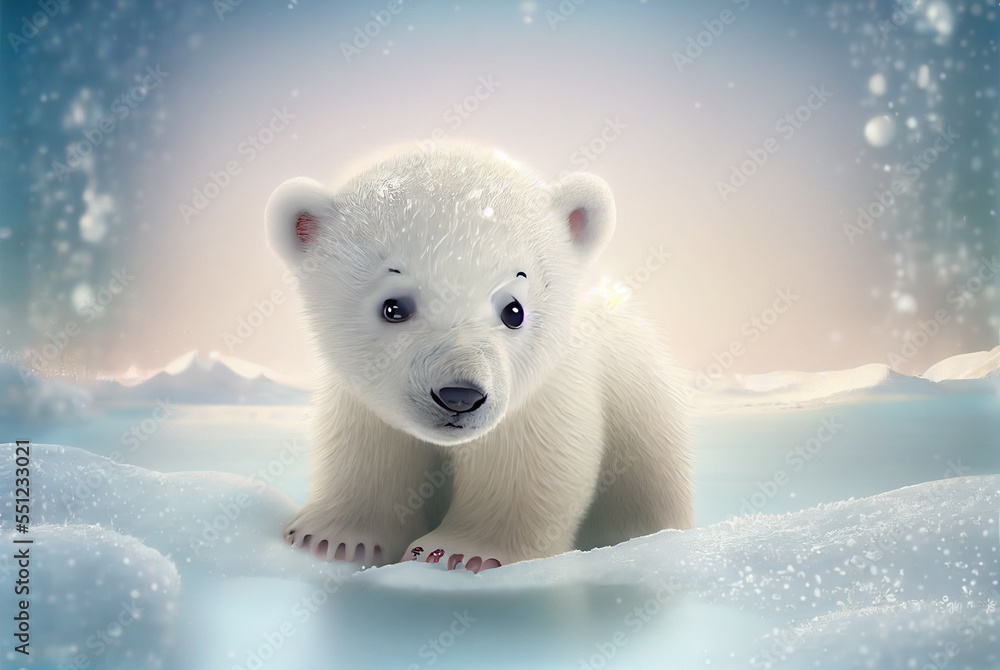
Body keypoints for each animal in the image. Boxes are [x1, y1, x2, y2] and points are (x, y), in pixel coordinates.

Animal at [265, 143, 693, 573]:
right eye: (393, 307)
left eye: (514, 310)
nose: (459, 396)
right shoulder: (360, 400)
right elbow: (368, 451)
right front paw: (332, 540)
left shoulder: (546, 394)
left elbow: (526, 463)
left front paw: (456, 552)